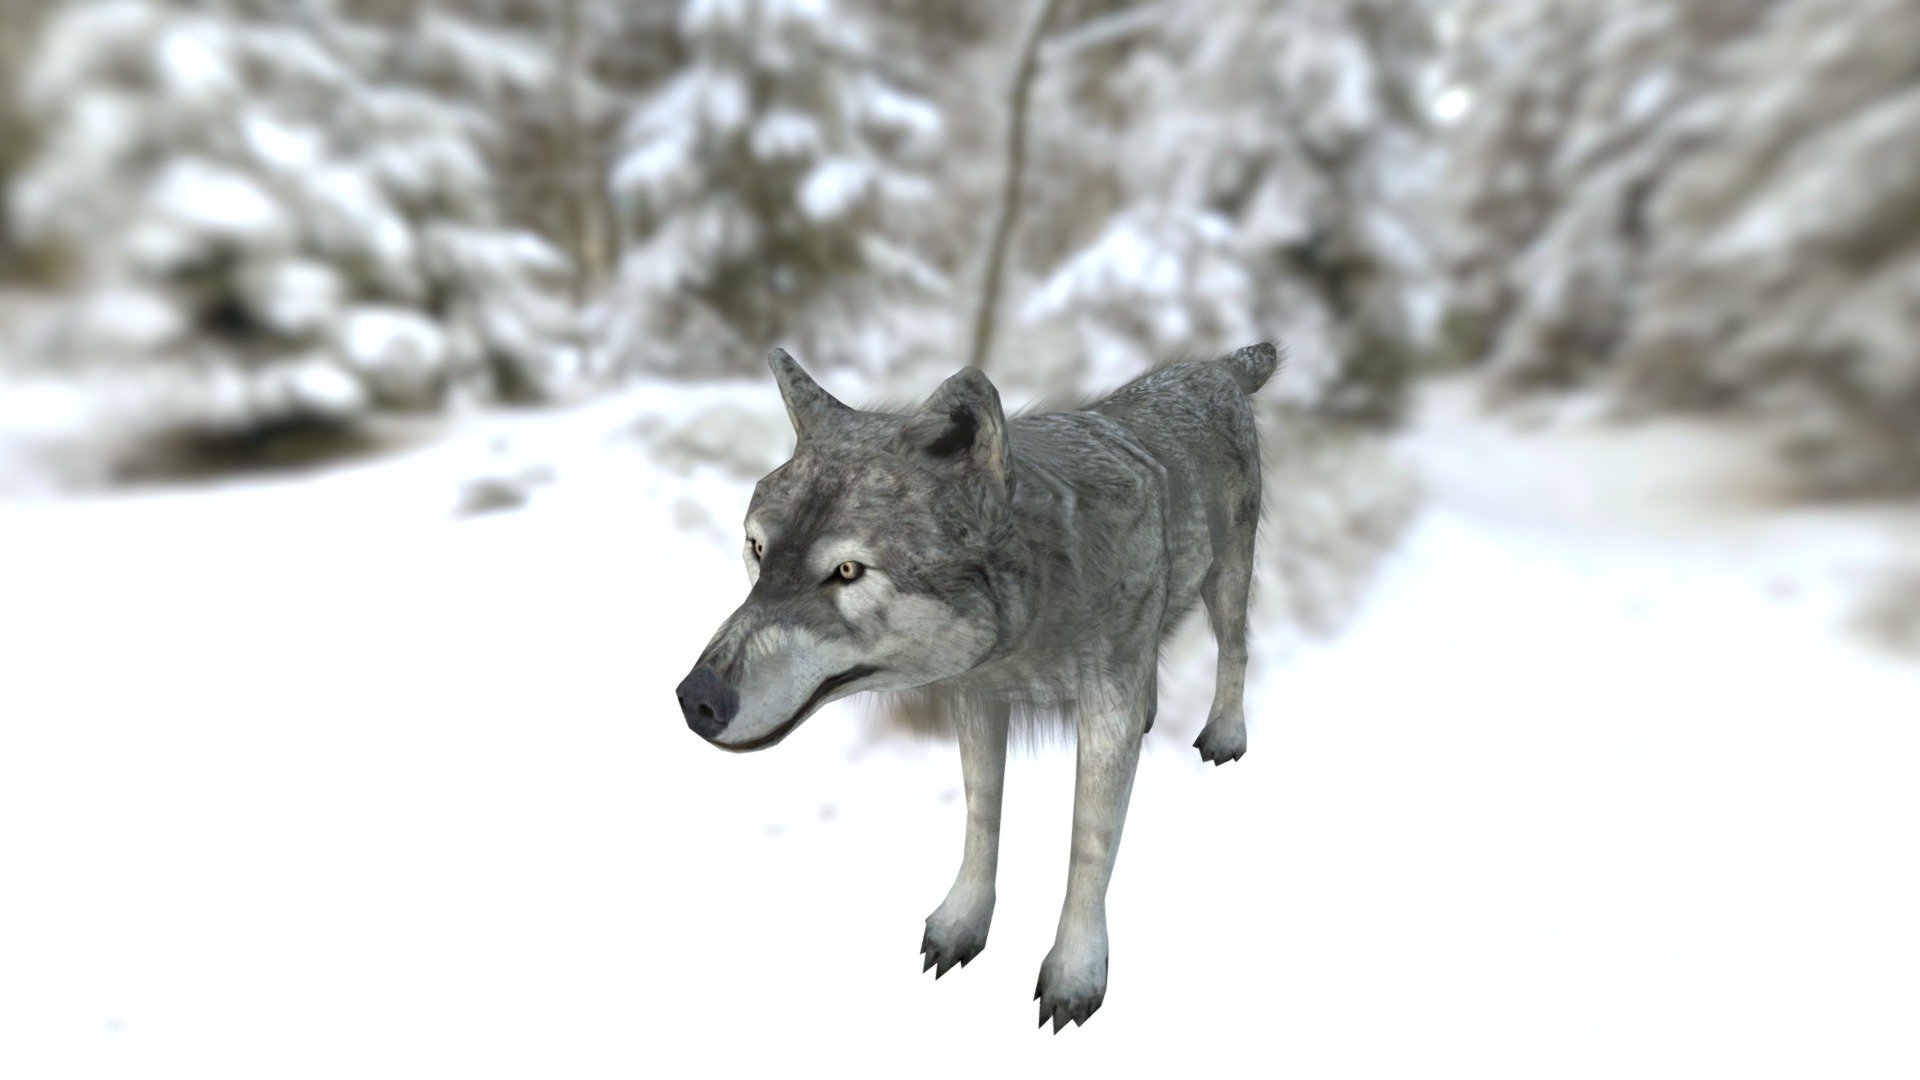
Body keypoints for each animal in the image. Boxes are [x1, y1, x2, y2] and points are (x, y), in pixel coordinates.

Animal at [674, 342, 1278, 1032]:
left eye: (847, 571)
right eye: (757, 548)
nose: (695, 698)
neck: (1043, 589)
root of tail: (1216, 367)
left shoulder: (1102, 706)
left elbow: (1089, 845)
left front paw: (1075, 973)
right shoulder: (978, 694)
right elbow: (982, 810)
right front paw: (963, 923)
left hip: (1226, 577)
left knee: (1235, 648)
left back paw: (1225, 734)